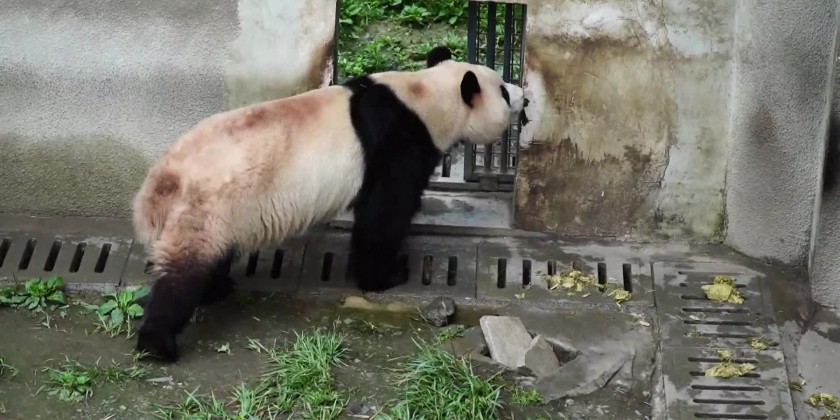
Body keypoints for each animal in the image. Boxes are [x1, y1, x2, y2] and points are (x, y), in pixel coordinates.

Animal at [131, 45, 526, 362]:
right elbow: (383, 215)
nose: (525, 98)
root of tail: (160, 184)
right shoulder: (395, 146)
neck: (424, 96)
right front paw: (388, 273)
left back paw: (217, 288)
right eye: (503, 91)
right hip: (206, 208)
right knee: (182, 275)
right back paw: (159, 343)